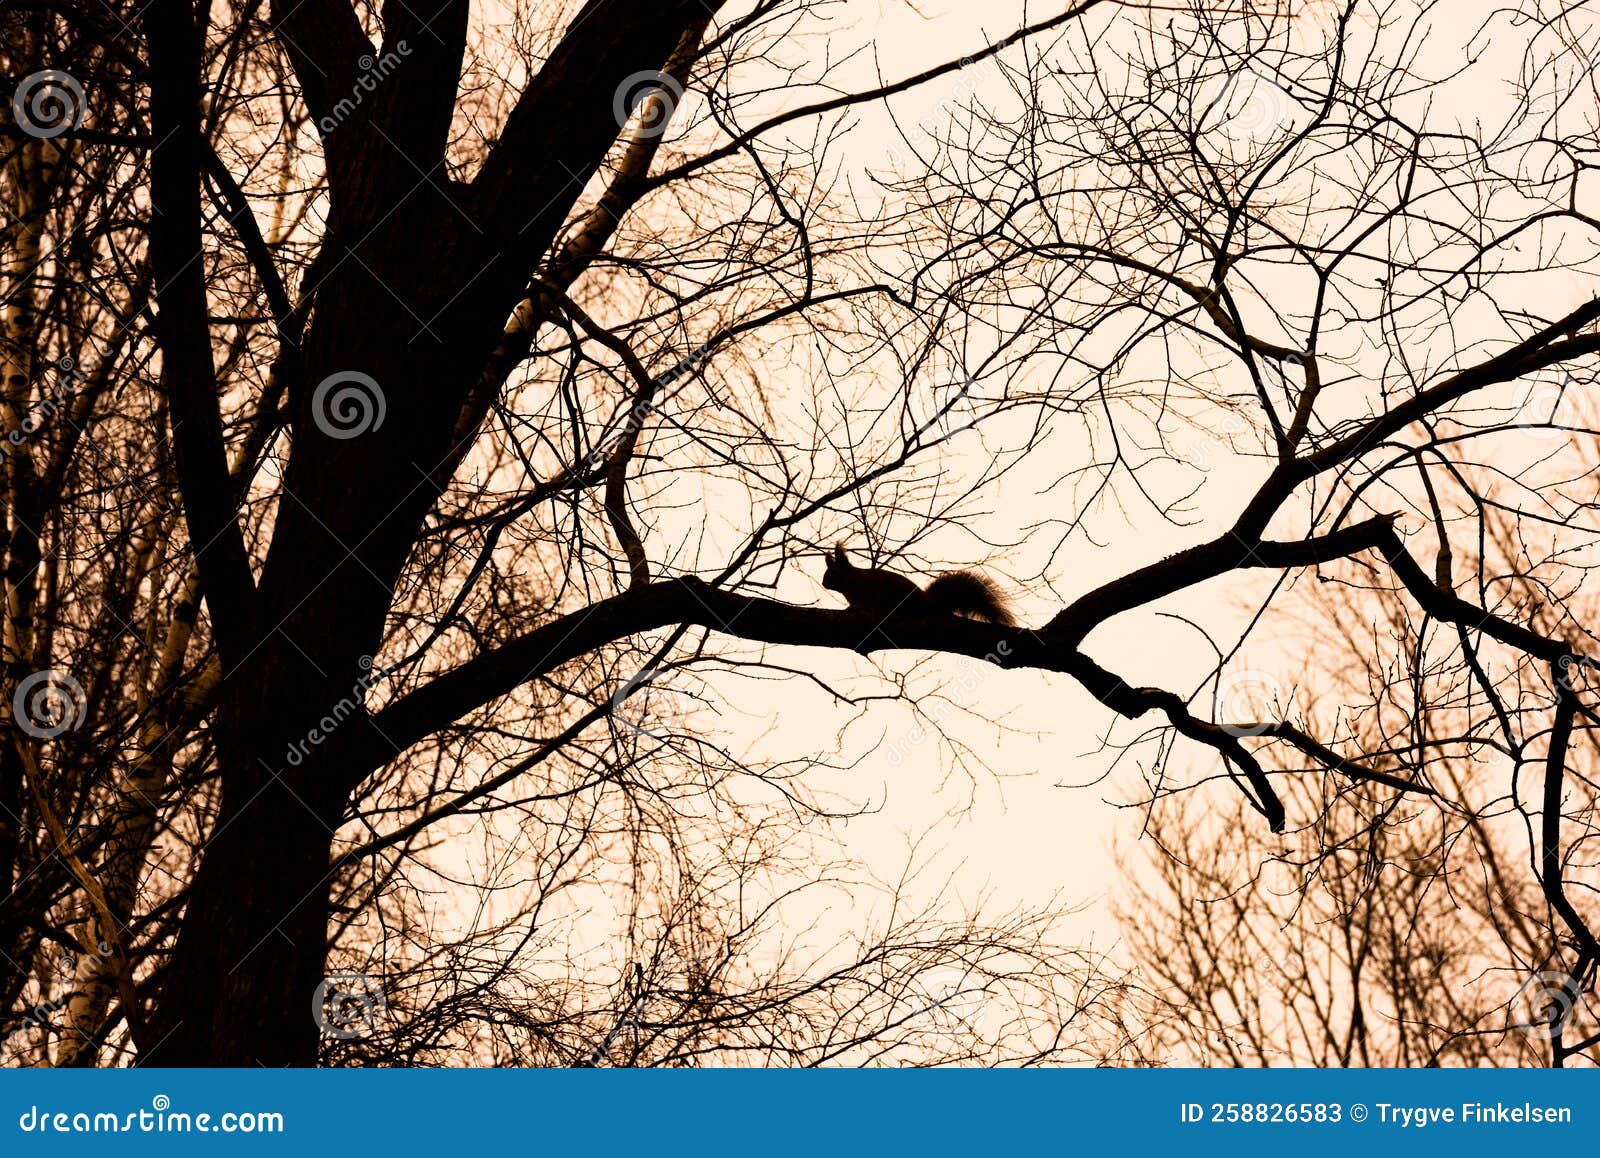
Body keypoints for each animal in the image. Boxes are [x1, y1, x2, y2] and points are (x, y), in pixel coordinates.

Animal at [821, 544, 1016, 627]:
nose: (823, 583)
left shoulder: (866, 591)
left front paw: (856, 609)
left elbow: (863, 603)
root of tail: (929, 604)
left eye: (832, 573)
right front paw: (850, 608)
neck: (851, 581)